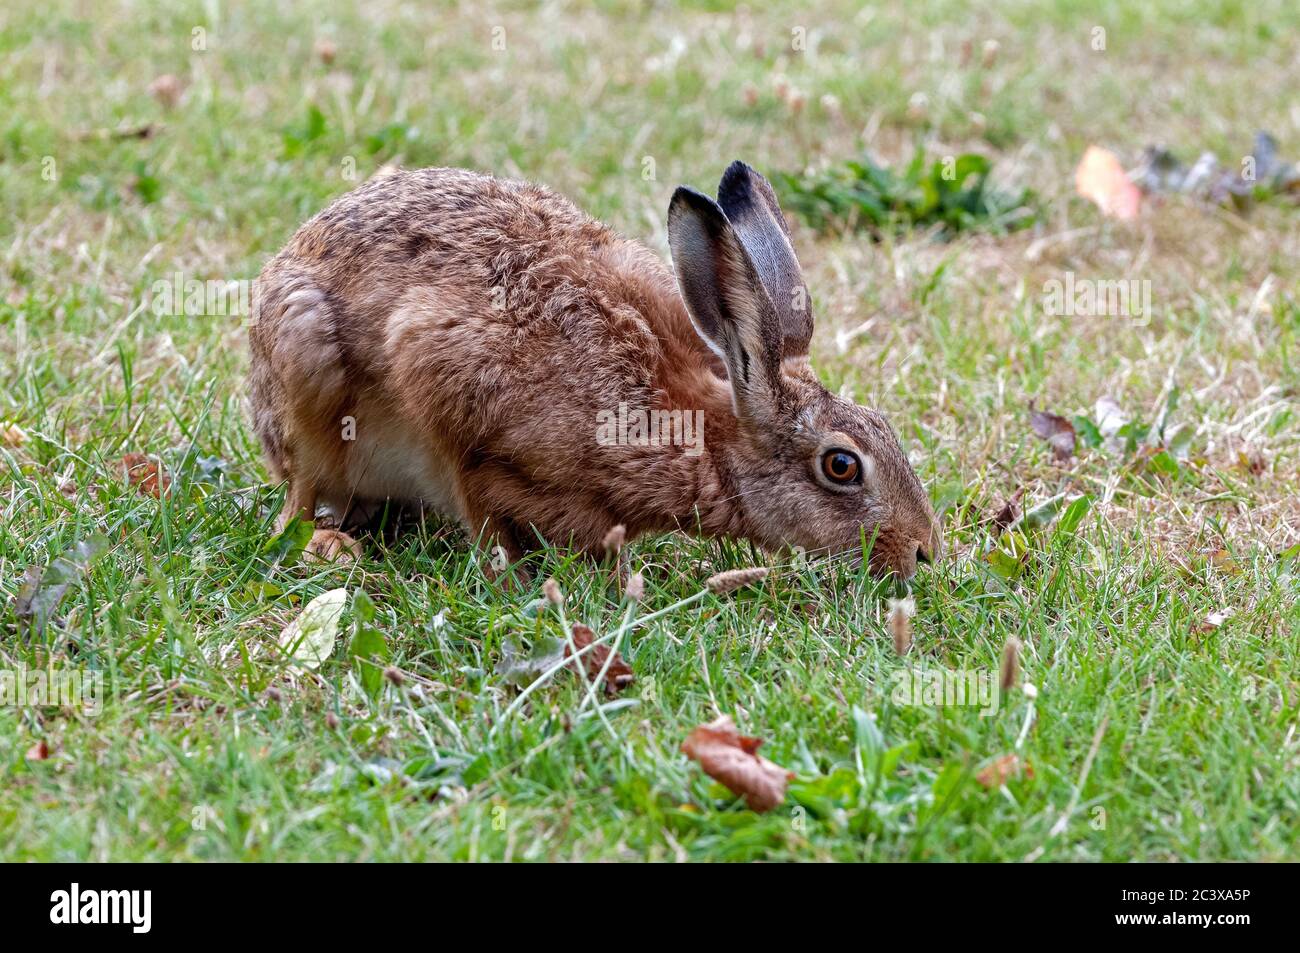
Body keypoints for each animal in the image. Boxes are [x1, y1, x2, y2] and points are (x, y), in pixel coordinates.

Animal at [247, 161, 940, 578]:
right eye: (841, 466)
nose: (923, 552)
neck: (700, 435)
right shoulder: (444, 388)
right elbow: (477, 503)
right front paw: (518, 572)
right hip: (306, 360)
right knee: (301, 494)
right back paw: (328, 545)